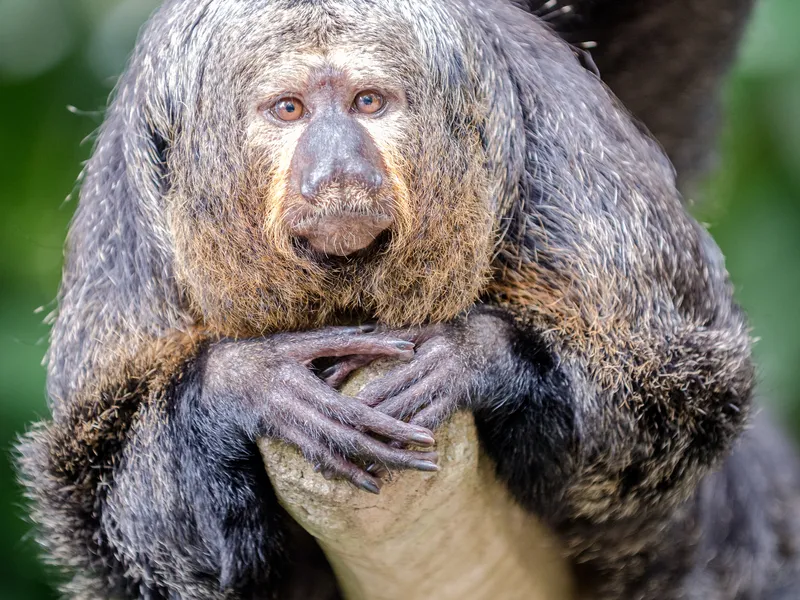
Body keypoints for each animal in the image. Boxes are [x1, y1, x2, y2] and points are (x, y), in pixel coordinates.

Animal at [15, 0, 800, 599]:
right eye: (289, 109)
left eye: (369, 102)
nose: (338, 165)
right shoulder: (130, 248)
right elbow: (122, 524)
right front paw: (248, 386)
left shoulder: (570, 164)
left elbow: (675, 392)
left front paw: (474, 357)